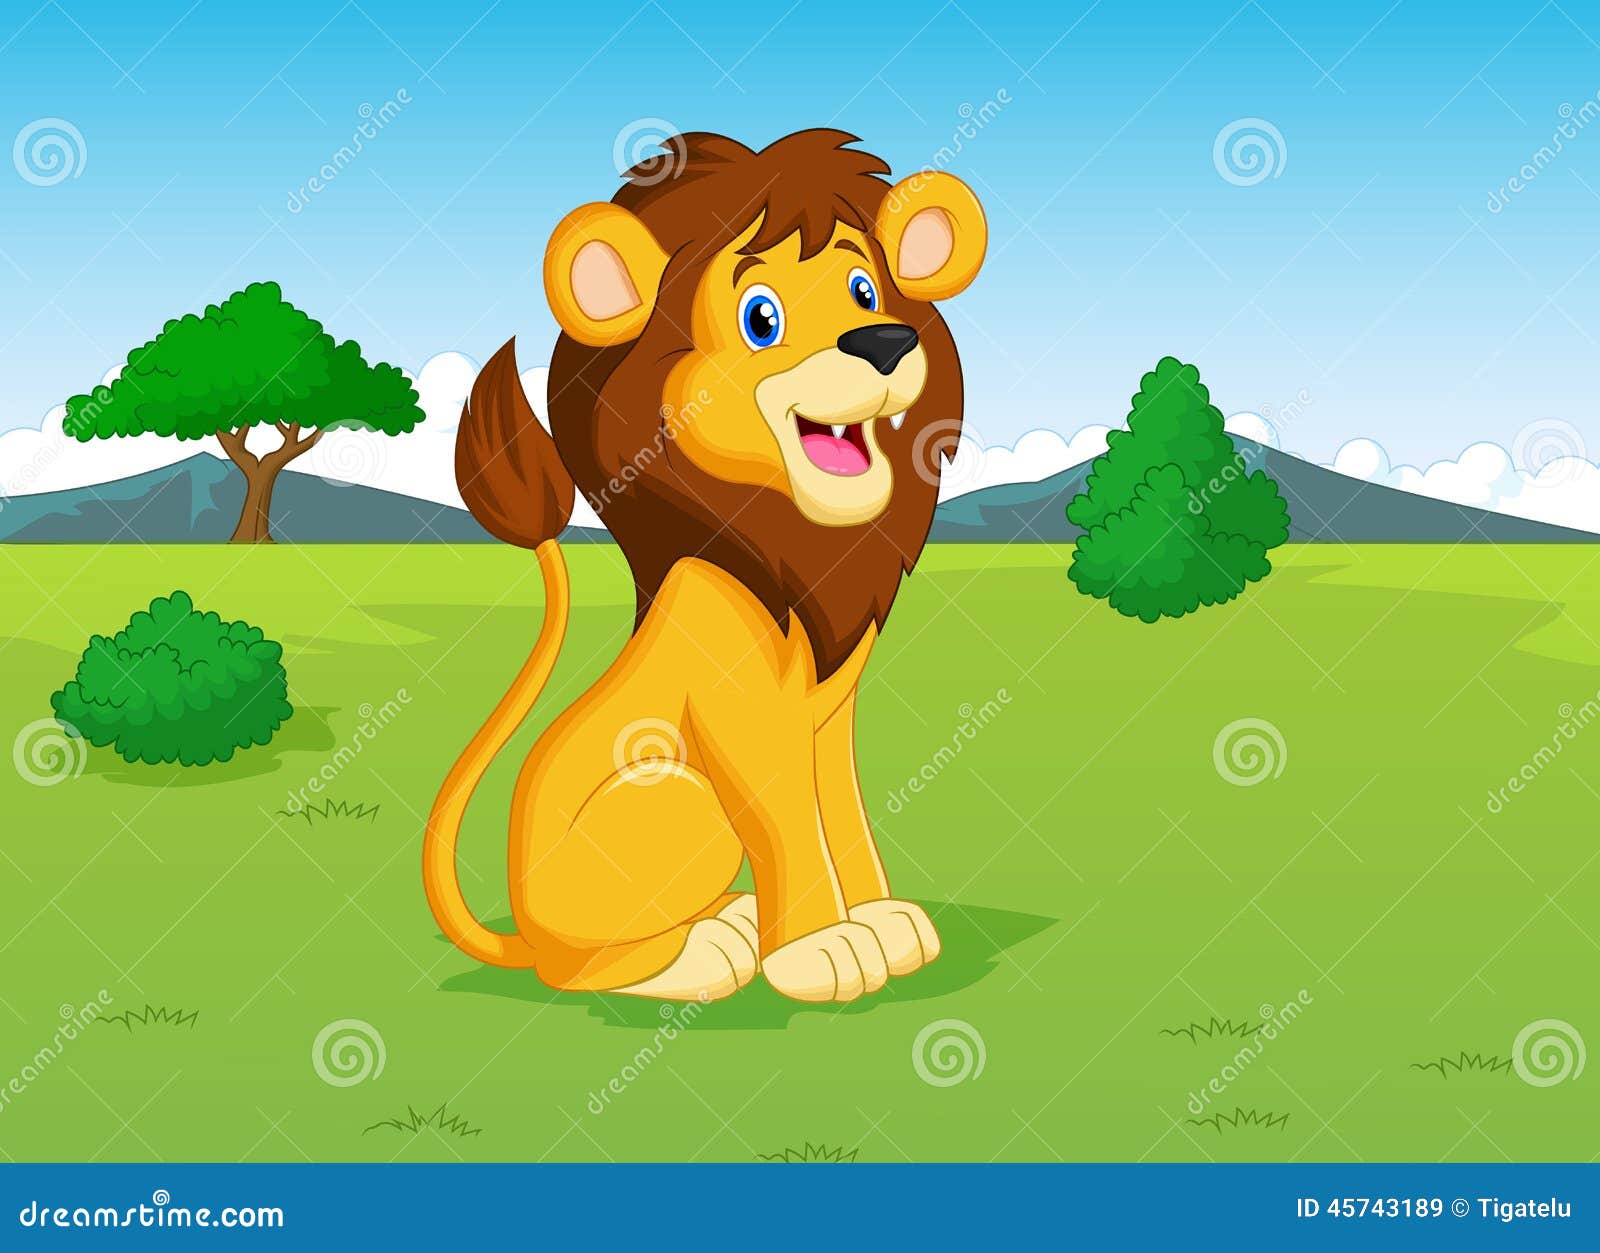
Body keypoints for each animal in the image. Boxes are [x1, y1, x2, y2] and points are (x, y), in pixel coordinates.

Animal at [423, 129, 986, 1002]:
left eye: (865, 291)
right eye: (761, 317)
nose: (885, 343)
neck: (782, 544)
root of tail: (524, 932)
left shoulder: (832, 712)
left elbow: (843, 814)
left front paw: (882, 922)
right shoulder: (741, 710)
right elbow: (792, 826)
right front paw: (822, 947)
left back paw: (733, 917)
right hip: (670, 801)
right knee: (584, 968)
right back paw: (705, 954)